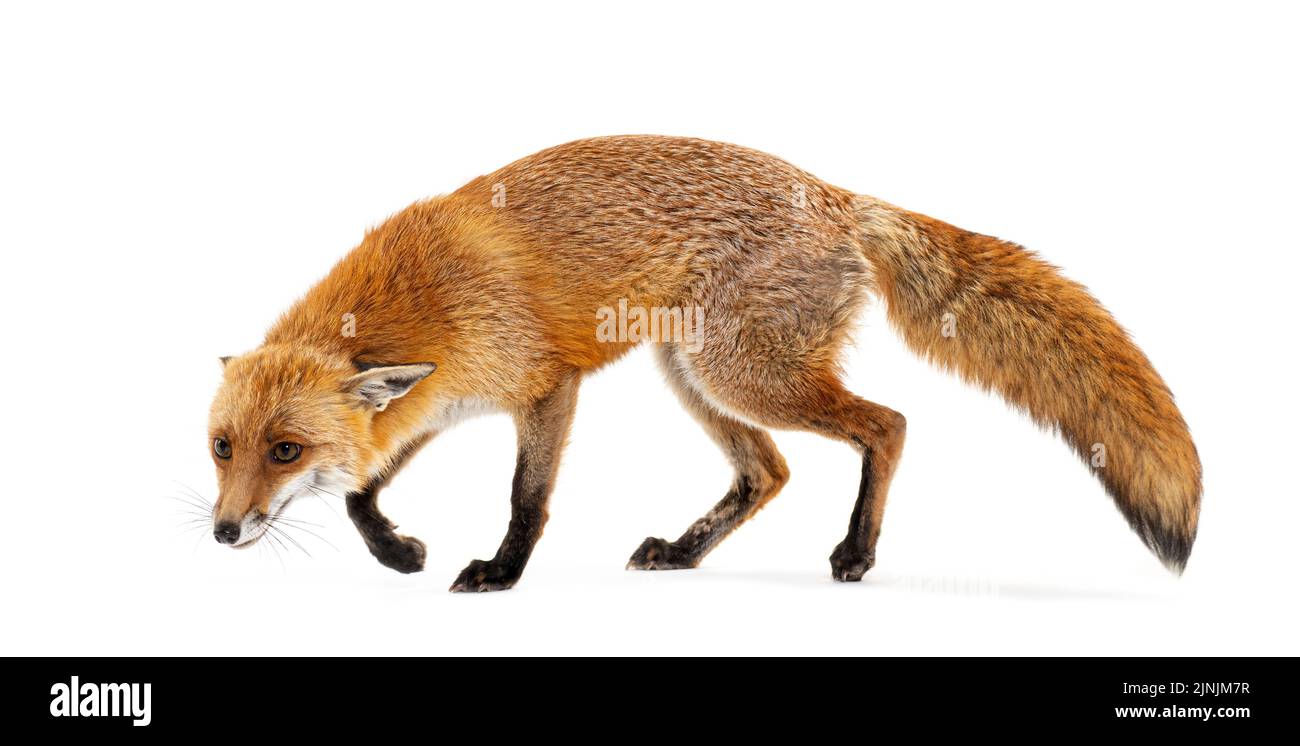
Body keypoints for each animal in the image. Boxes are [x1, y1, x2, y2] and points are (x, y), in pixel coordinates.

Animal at [207, 135, 1201, 592]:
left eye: (285, 452)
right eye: (223, 448)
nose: (220, 532)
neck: (428, 298)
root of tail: (838, 196)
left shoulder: (545, 386)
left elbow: (526, 498)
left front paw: (500, 574)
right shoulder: (427, 407)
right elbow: (362, 491)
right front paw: (398, 553)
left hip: (738, 373)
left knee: (887, 424)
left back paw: (857, 551)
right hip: (691, 375)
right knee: (769, 471)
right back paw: (685, 553)